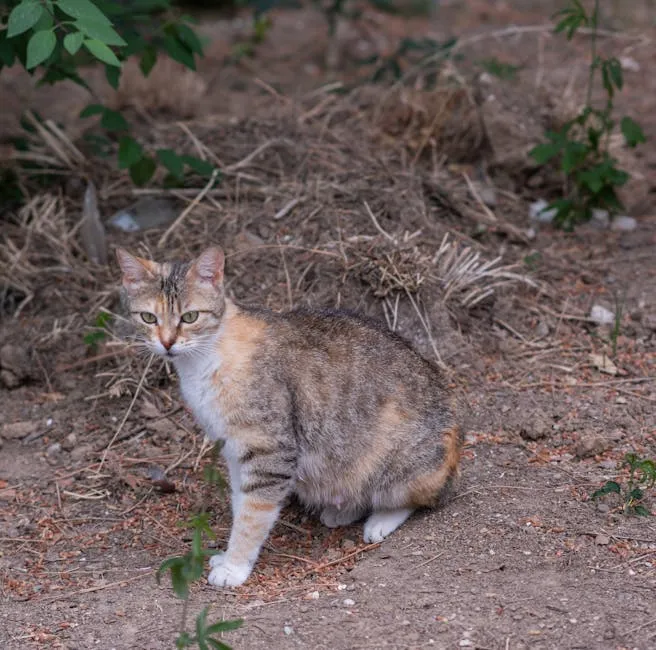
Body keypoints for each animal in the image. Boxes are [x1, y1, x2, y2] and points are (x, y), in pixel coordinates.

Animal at [115, 246, 462, 584]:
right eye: (148, 317)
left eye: (189, 317)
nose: (167, 343)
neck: (205, 359)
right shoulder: (233, 450)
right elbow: (240, 503)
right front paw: (228, 557)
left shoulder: (268, 449)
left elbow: (253, 515)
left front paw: (234, 567)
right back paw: (342, 510)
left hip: (400, 463)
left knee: (415, 498)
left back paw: (380, 519)